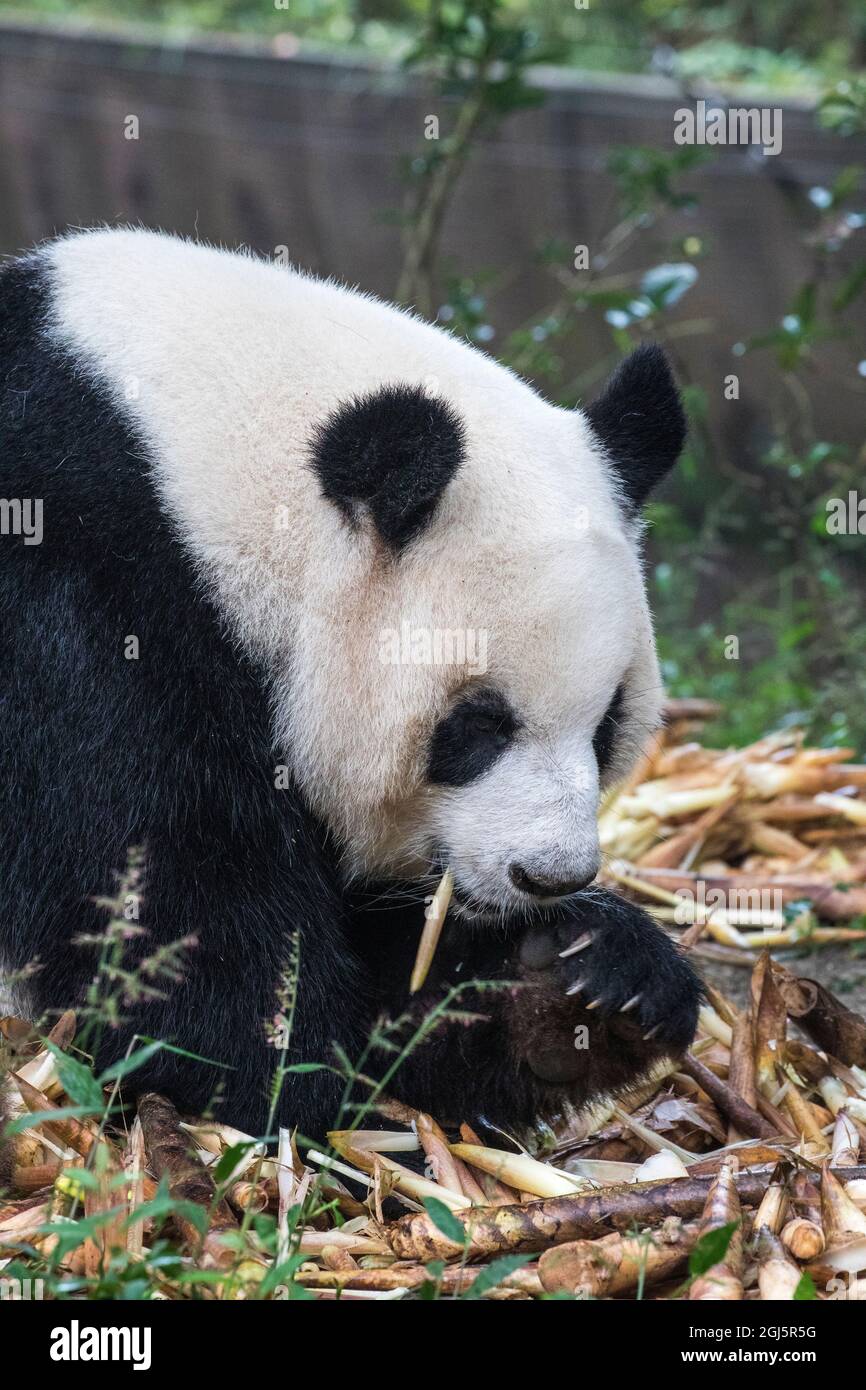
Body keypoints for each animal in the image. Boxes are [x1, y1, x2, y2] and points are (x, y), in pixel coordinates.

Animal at [0, 228, 701, 1144]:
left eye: (608, 722)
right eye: (477, 727)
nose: (550, 877)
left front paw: (586, 985)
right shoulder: (80, 598)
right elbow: (165, 929)